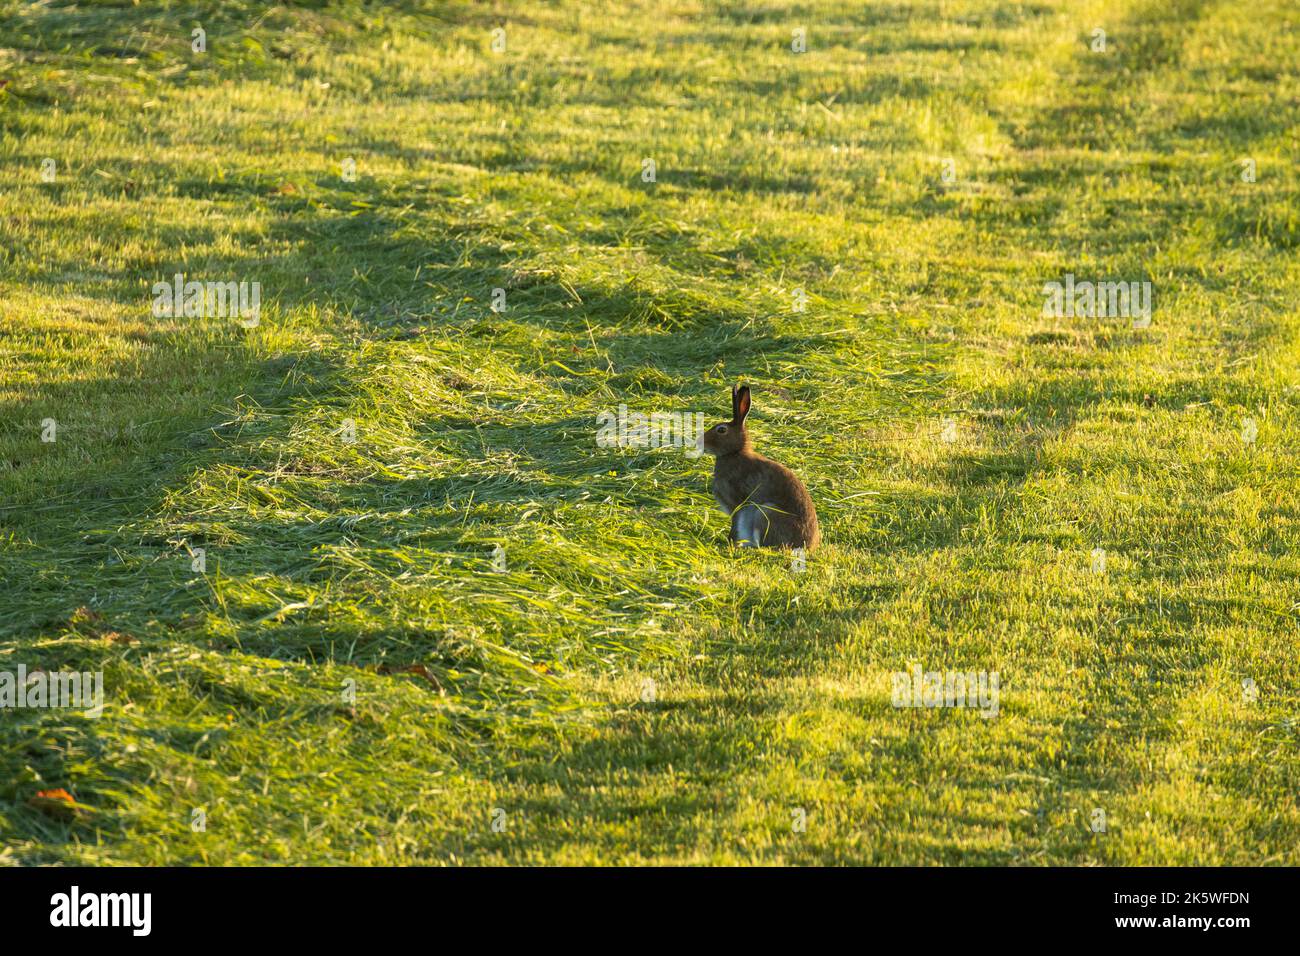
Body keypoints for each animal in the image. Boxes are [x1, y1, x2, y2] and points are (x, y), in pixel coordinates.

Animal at [701, 384, 820, 551]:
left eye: (721, 430)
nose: (701, 442)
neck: (735, 452)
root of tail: (806, 547)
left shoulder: (738, 503)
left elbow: (735, 524)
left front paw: (730, 542)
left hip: (764, 513)